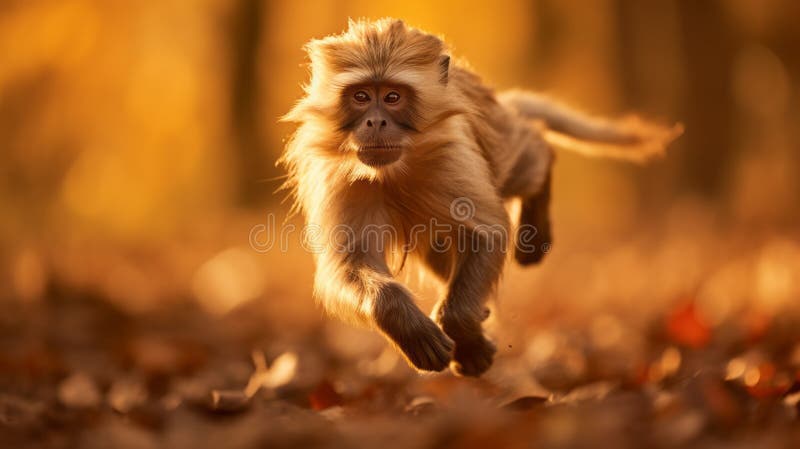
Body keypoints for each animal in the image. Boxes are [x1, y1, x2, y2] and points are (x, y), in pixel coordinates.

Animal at [279, 18, 682, 377]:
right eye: (361, 96)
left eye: (392, 97)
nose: (375, 122)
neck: (396, 171)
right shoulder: (341, 179)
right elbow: (350, 263)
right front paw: (411, 325)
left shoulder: (453, 156)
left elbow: (486, 232)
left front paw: (463, 332)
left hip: (499, 138)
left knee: (527, 162)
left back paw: (538, 184)